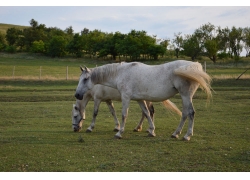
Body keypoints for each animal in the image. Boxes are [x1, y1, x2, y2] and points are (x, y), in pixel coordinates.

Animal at [74, 60, 211, 141]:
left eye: (85, 79)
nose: (77, 94)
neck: (121, 73)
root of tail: (195, 66)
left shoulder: (125, 97)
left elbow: (124, 115)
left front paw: (119, 133)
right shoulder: (139, 99)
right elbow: (146, 113)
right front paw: (151, 131)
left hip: (186, 95)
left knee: (191, 113)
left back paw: (187, 136)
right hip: (184, 96)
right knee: (184, 114)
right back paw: (176, 133)